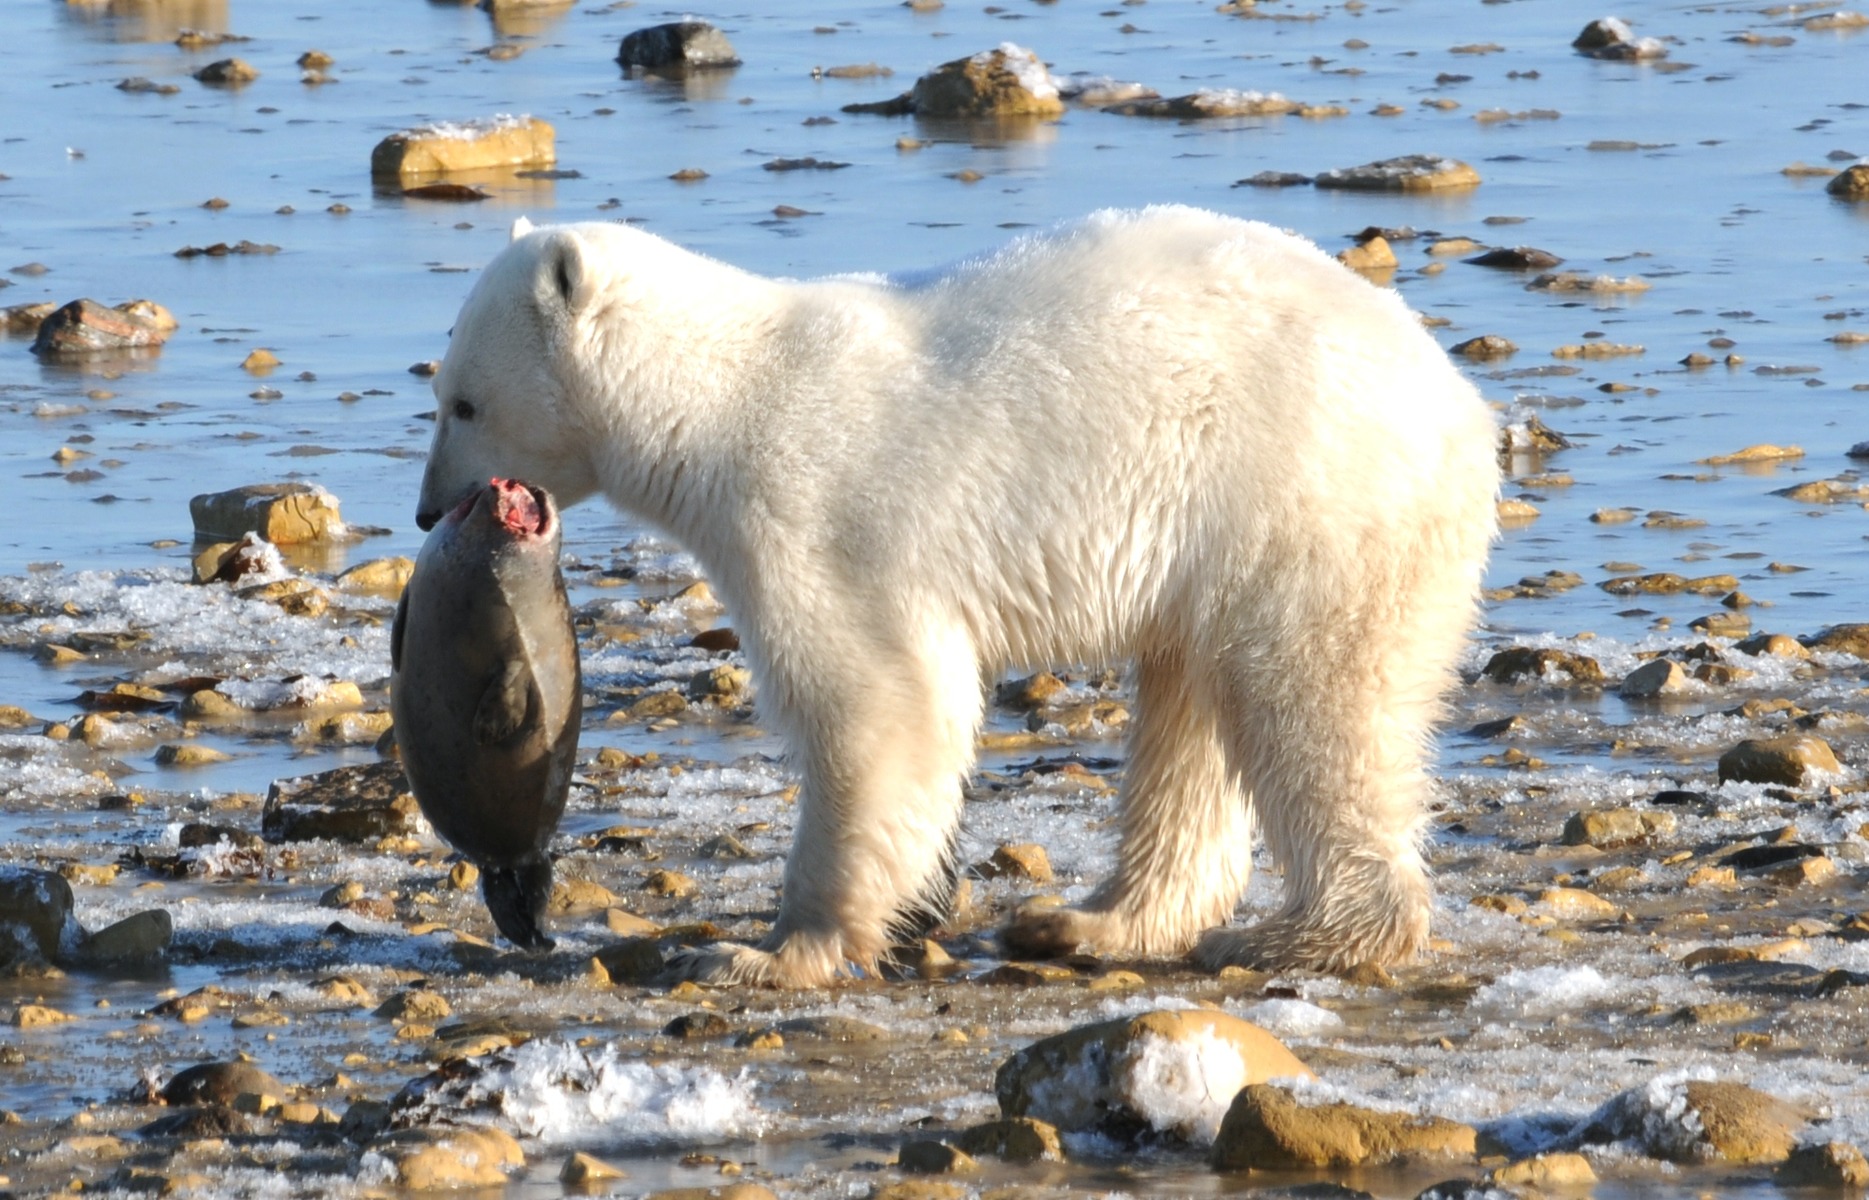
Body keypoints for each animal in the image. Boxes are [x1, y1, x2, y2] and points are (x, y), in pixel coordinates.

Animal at [416, 205, 1495, 986]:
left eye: (463, 401)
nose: (429, 509)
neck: (717, 398)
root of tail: (1462, 409)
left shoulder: (814, 515)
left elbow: (880, 703)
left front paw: (769, 952)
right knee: (1189, 708)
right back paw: (1091, 922)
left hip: (1301, 502)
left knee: (1310, 699)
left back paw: (1300, 937)